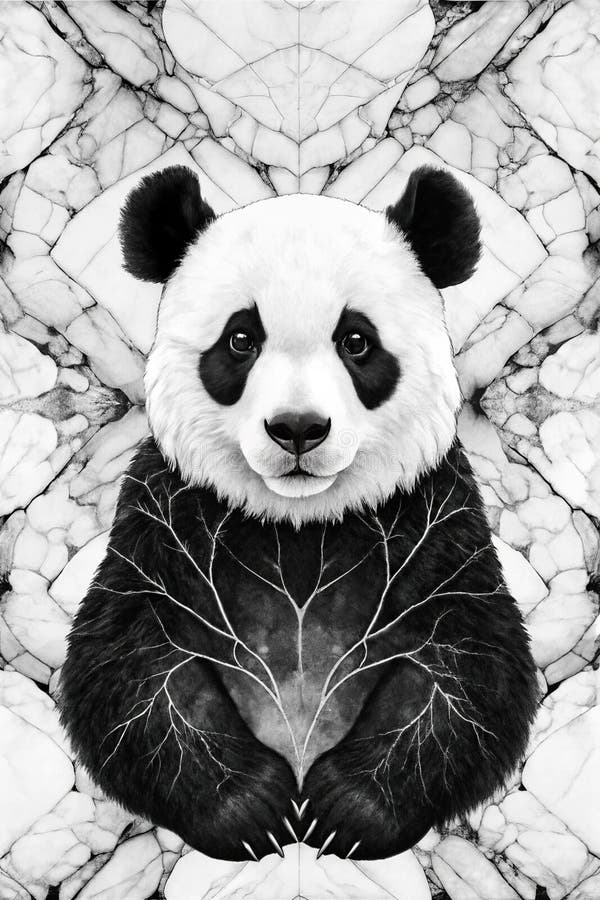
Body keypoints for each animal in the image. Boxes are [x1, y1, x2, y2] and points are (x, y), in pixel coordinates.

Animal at [60, 164, 538, 863]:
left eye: (356, 341)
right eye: (241, 339)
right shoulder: (166, 518)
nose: (298, 429)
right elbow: (133, 665)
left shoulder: (434, 520)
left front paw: (346, 811)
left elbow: (467, 667)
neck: (300, 525)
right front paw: (253, 810)